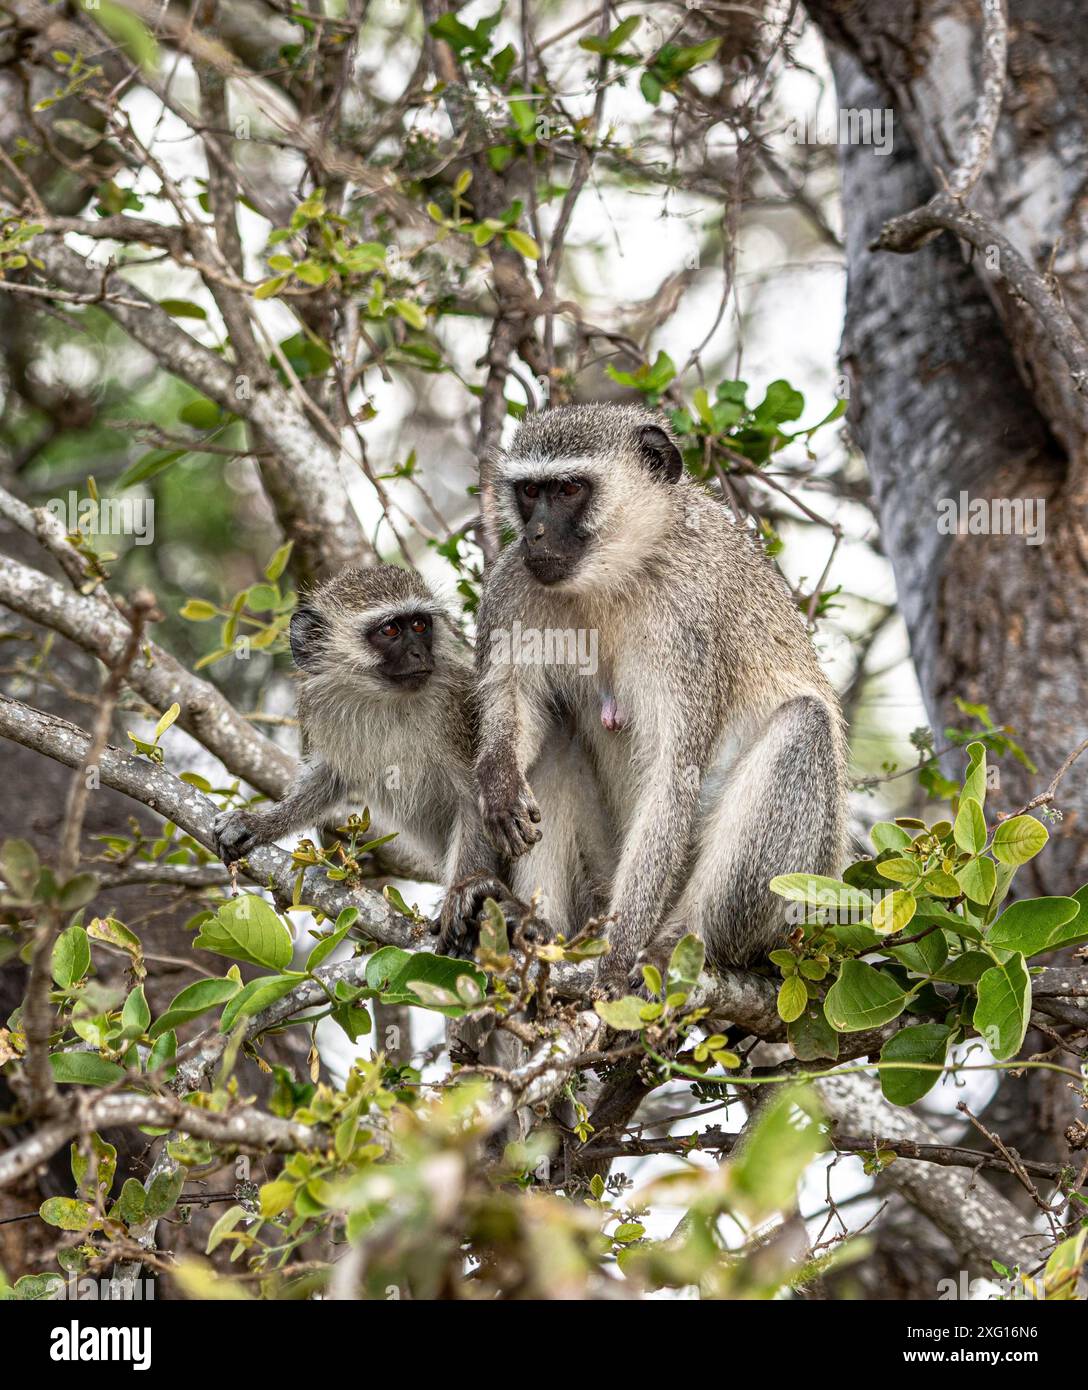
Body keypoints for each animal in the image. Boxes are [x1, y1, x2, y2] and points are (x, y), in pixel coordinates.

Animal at [213, 565, 612, 953]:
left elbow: (475, 802)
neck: (384, 698)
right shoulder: (320, 708)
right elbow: (328, 778)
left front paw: (461, 895)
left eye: (420, 625)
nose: (421, 654)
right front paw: (260, 823)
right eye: (390, 629)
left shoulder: (456, 709)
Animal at [473, 402, 849, 996]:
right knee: (558, 729)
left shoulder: (689, 620)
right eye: (530, 491)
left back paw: (680, 943)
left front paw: (616, 959)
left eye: (570, 489)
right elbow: (519, 699)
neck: (617, 575)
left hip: (796, 897)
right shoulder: (513, 587)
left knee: (804, 727)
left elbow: (673, 776)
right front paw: (497, 777)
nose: (535, 534)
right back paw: (538, 931)